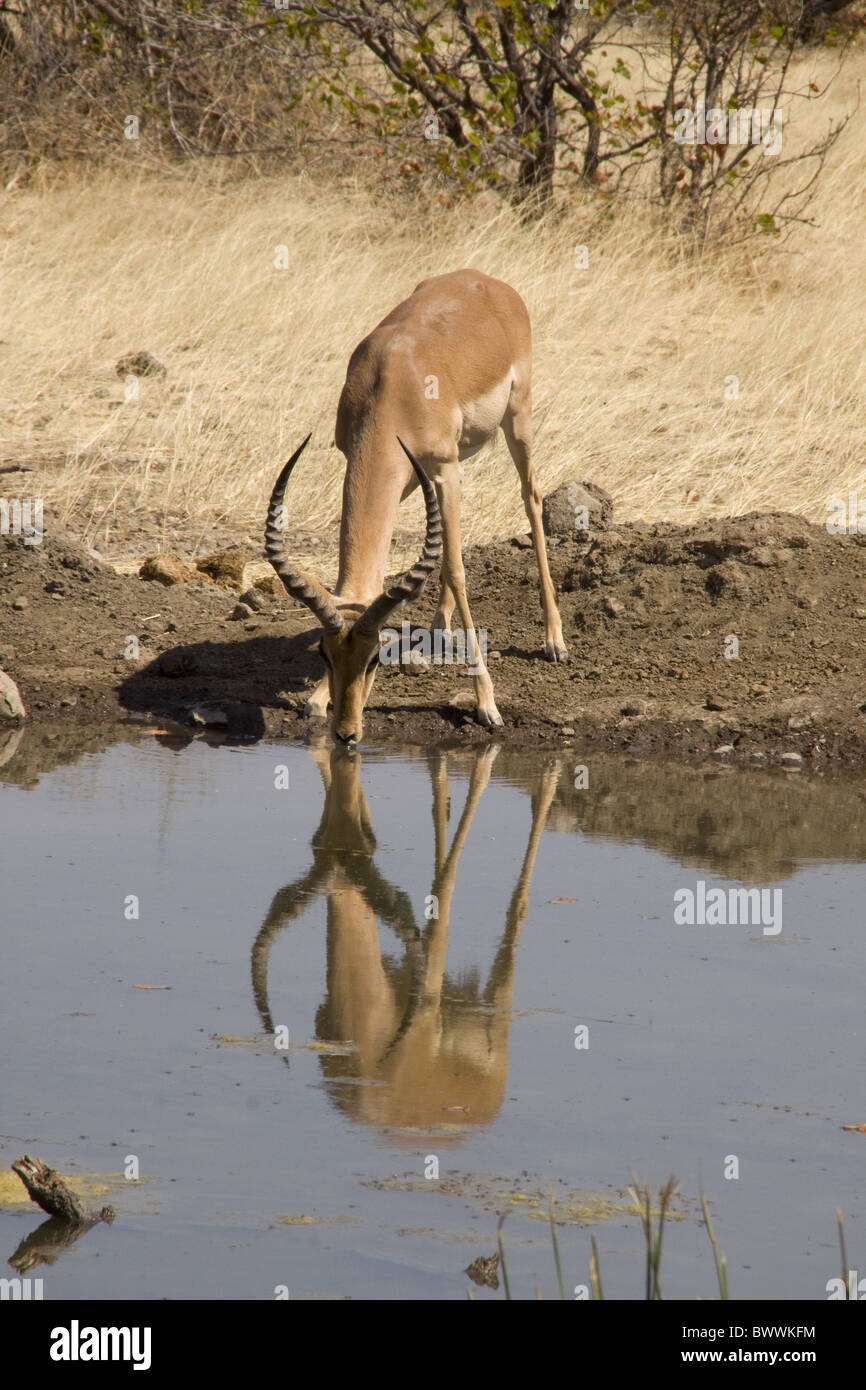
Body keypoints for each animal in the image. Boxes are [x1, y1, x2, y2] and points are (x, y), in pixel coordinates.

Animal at [265, 269, 567, 745]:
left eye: (374, 658)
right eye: (325, 655)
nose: (346, 733)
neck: (392, 385)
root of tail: (485, 280)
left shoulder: (442, 470)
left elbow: (459, 571)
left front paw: (487, 704)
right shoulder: (393, 468)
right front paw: (316, 699)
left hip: (516, 419)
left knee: (532, 497)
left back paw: (555, 640)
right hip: (431, 472)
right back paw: (440, 626)